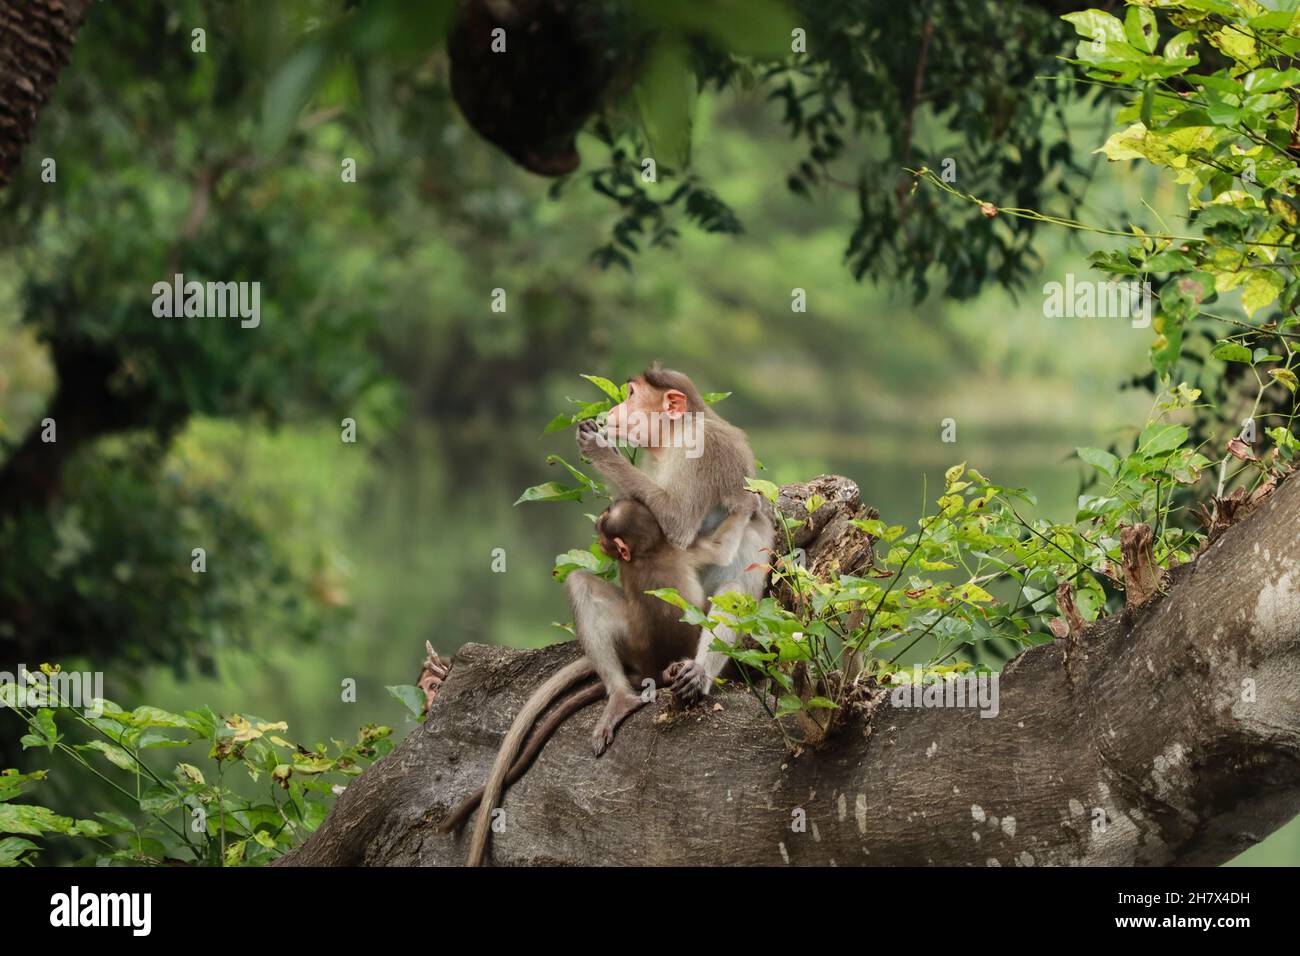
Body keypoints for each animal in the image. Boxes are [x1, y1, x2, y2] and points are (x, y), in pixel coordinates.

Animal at [446, 494, 758, 866]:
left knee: (581, 582)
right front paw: (748, 504)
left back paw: (635, 693)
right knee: (731, 589)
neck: (649, 552)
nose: (597, 532)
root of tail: (651, 669)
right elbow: (722, 548)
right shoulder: (691, 551)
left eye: (602, 528)